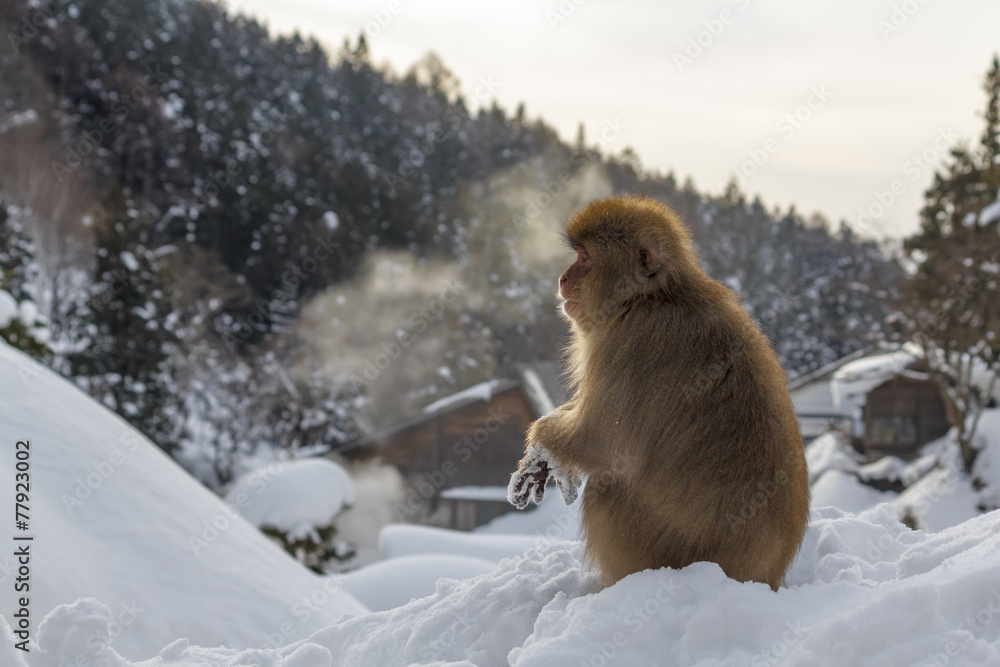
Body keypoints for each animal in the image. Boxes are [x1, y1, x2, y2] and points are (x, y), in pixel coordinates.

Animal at [507, 195, 809, 590]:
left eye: (585, 258)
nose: (562, 279)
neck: (653, 297)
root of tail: (763, 577)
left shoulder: (631, 342)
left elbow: (599, 441)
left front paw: (541, 445)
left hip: (657, 547)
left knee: (606, 487)